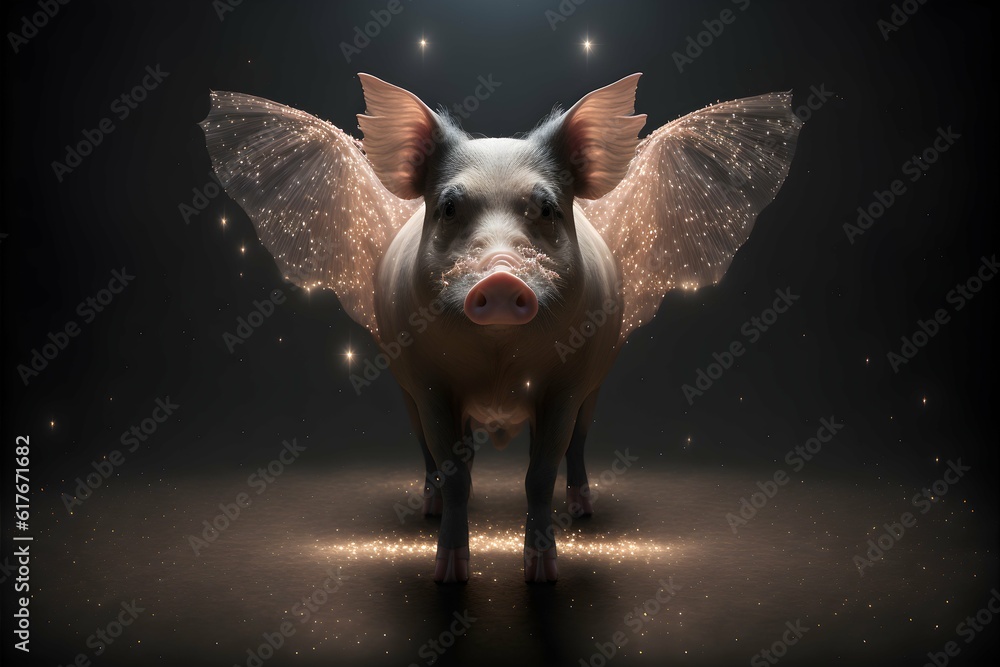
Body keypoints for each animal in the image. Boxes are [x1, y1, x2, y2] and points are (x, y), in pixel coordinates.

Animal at [200, 72, 801, 583]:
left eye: (546, 208)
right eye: (448, 207)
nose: (501, 277)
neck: (499, 362)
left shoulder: (566, 384)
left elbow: (540, 471)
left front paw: (543, 574)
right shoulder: (431, 384)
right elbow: (456, 473)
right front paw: (449, 574)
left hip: (596, 384)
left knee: (578, 445)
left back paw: (582, 509)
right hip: (405, 390)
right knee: (428, 453)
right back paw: (427, 506)